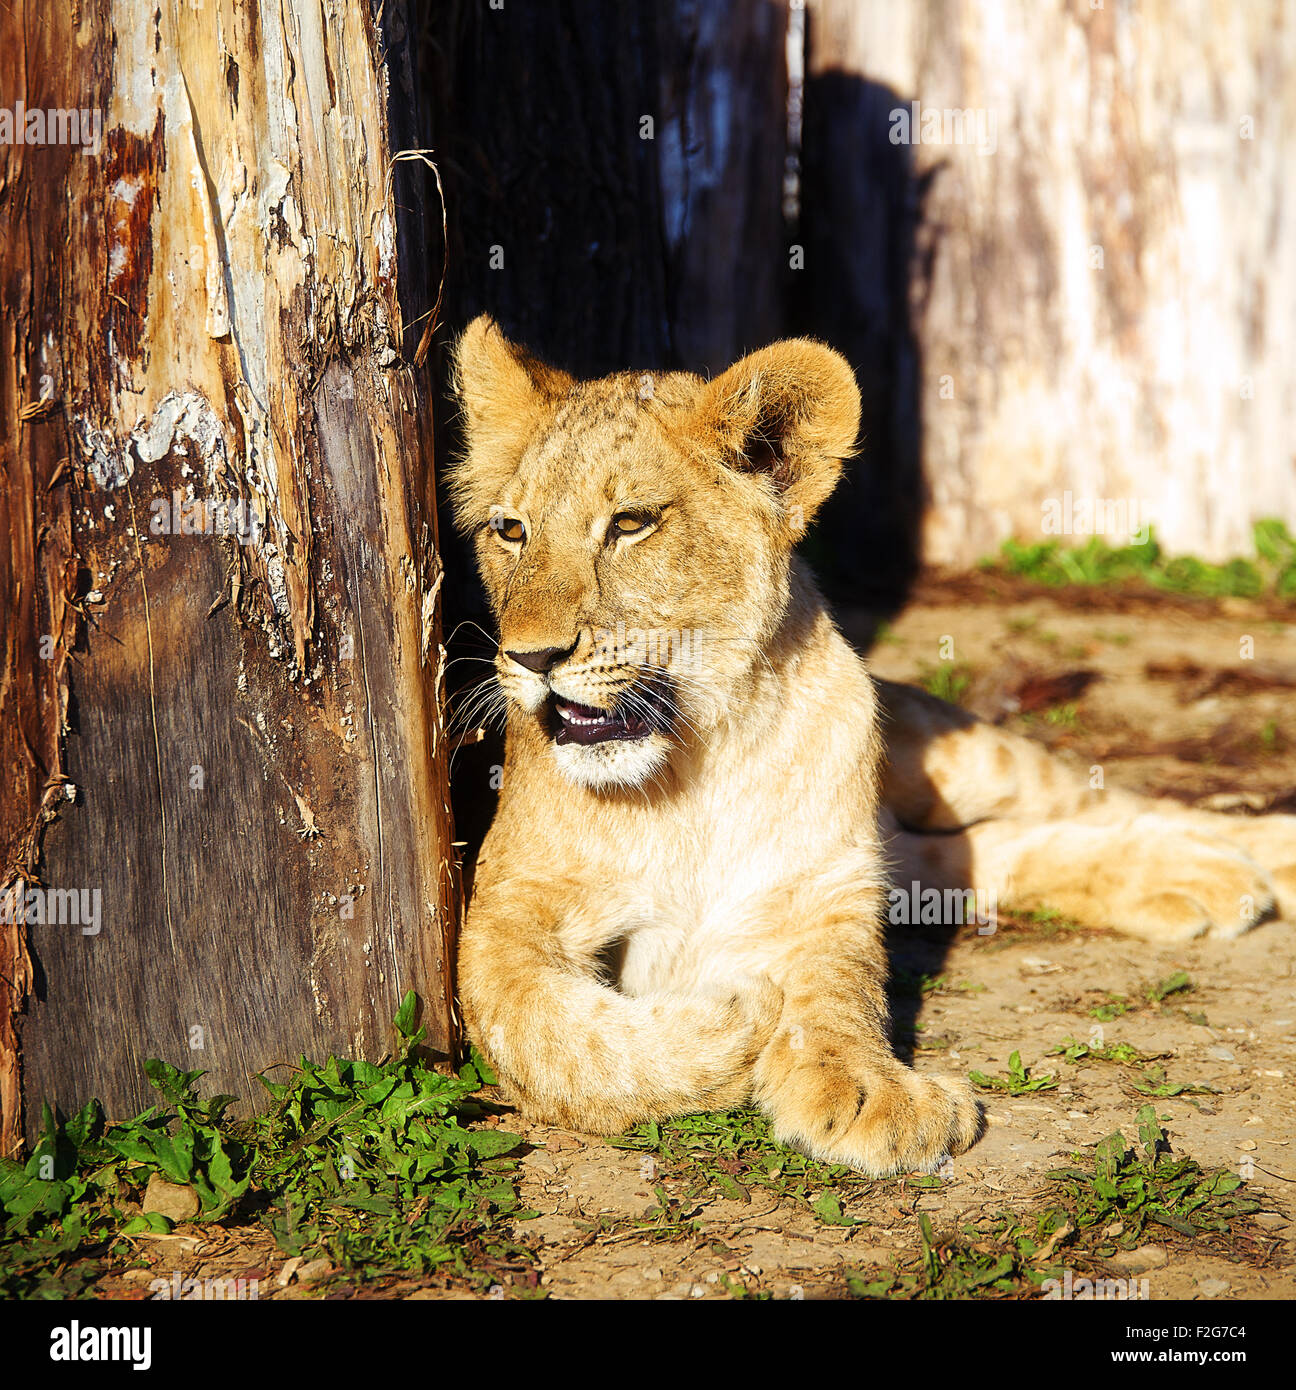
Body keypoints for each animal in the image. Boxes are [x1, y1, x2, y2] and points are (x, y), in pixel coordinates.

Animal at [447, 314, 1296, 1177]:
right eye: (511, 531)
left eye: (630, 524)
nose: (531, 659)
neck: (692, 761)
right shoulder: (501, 912)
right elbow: (549, 1032)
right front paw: (738, 1016)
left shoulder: (827, 888)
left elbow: (838, 990)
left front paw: (864, 1088)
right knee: (989, 850)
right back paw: (1196, 881)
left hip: (953, 756)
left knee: (1111, 803)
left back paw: (1257, 858)